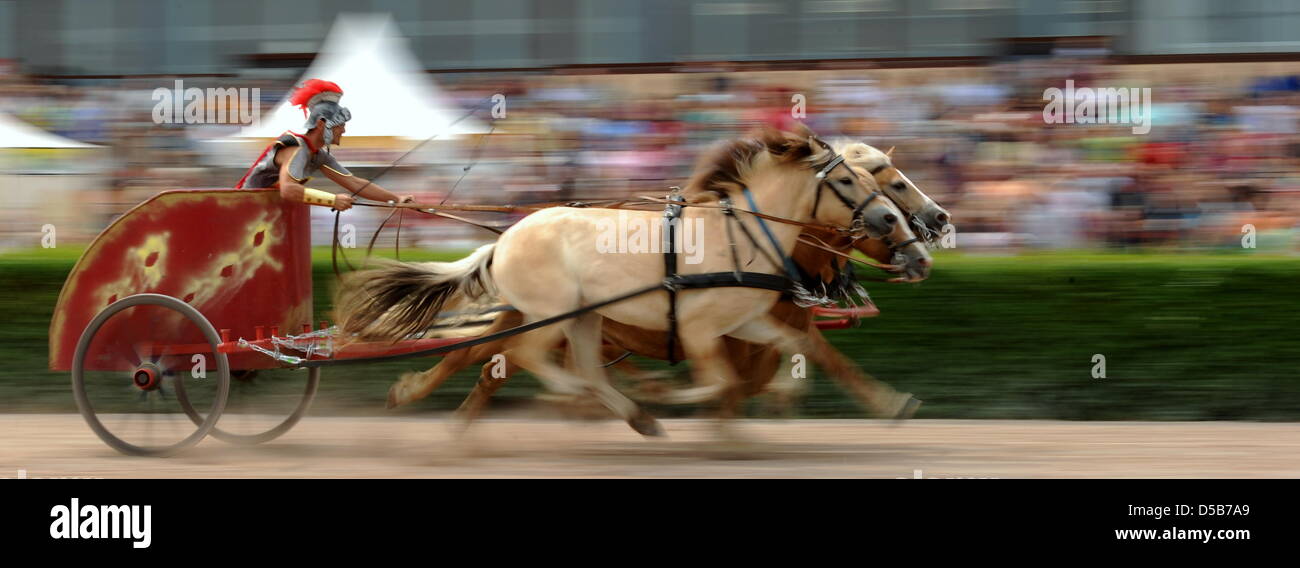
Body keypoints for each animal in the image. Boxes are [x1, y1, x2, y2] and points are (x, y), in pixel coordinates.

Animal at [335, 126, 925, 436]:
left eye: (882, 182)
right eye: (852, 179)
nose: (920, 237)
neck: (744, 236)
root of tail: (505, 239)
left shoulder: (748, 324)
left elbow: (800, 351)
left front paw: (888, 402)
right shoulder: (701, 331)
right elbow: (722, 382)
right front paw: (683, 400)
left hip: (581, 319)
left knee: (548, 365)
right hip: (552, 315)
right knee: (517, 357)